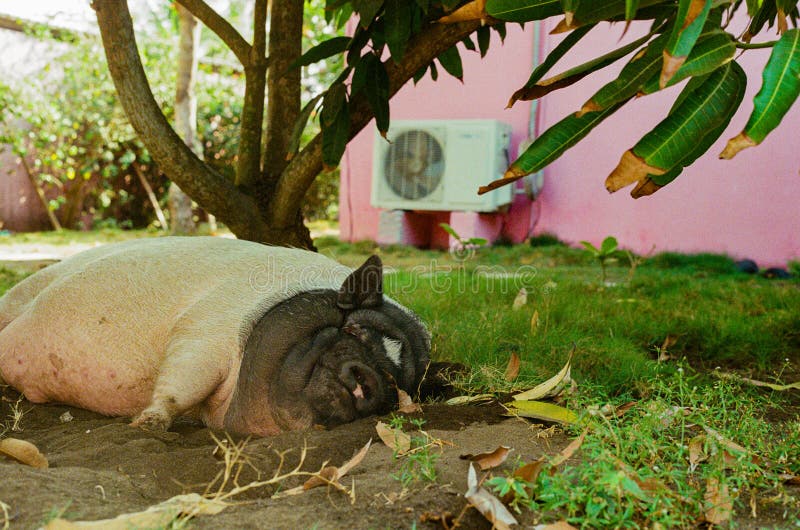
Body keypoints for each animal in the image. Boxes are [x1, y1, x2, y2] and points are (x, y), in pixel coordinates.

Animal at [0, 237, 431, 436]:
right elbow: (183, 382)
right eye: (352, 329)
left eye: (397, 382)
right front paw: (145, 427)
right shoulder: (206, 329)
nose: (369, 375)